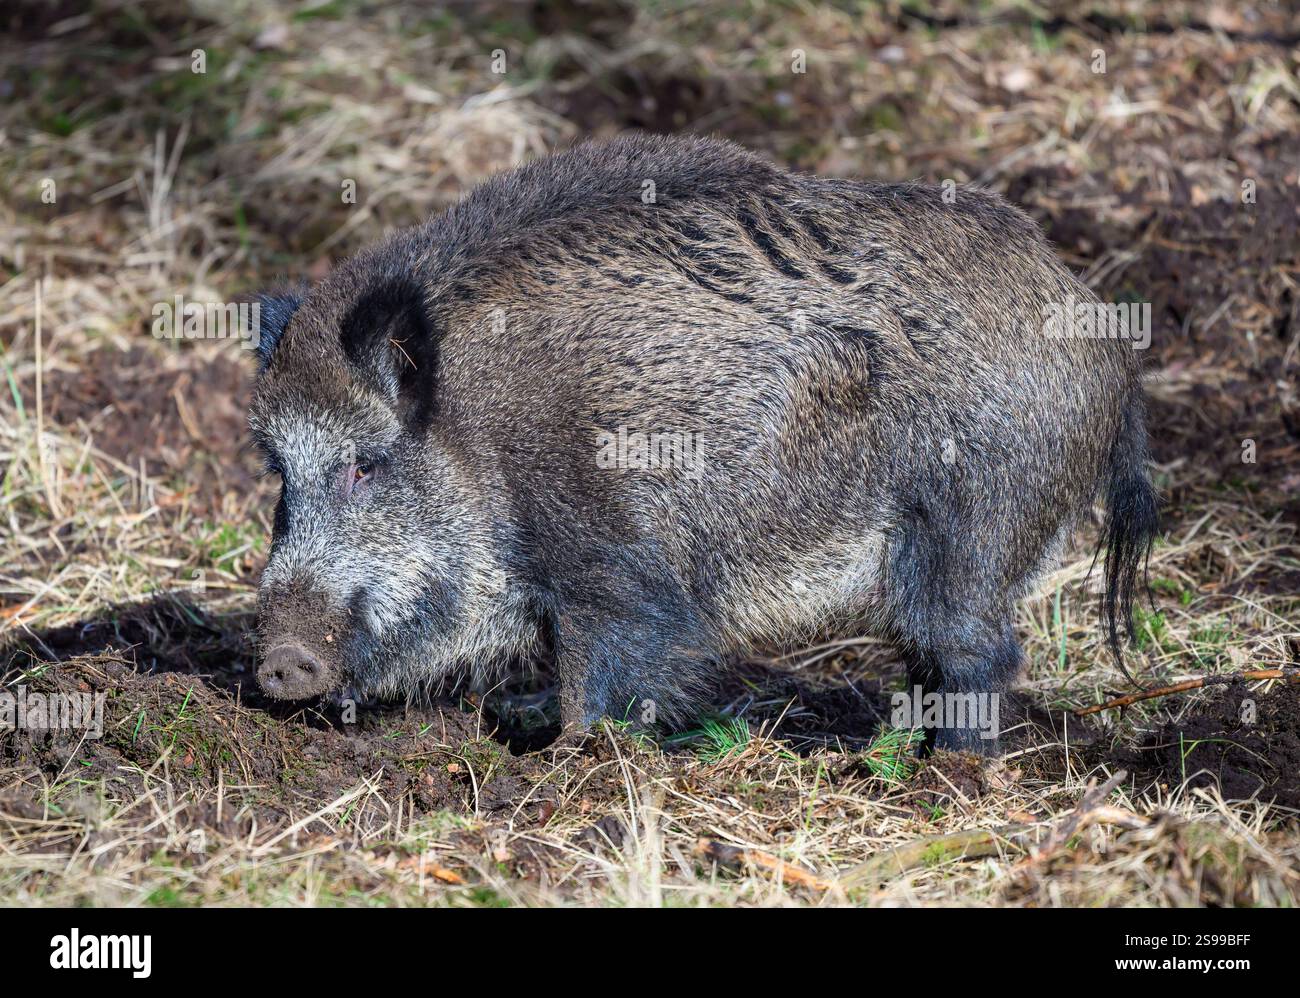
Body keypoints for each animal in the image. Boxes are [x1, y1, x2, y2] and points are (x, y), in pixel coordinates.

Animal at [247, 133, 1158, 751]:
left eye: (365, 465)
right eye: (280, 474)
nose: (277, 663)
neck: (484, 440)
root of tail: (1099, 328)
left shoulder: (620, 565)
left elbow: (611, 667)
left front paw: (570, 760)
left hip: (978, 525)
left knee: (980, 653)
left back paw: (941, 775)